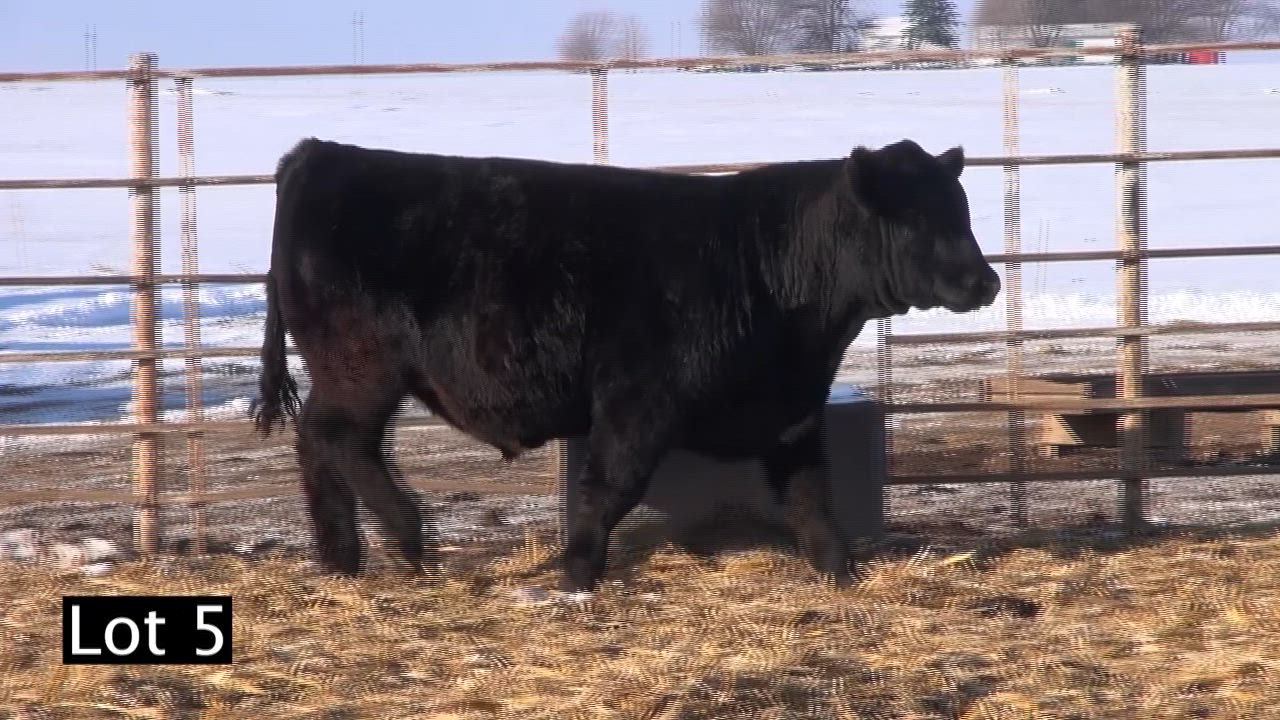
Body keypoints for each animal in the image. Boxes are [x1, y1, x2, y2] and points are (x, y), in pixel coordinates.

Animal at [251, 136, 1000, 593]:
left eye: (961, 209)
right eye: (918, 219)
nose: (987, 281)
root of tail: (322, 155)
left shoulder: (791, 410)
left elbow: (812, 496)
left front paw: (841, 572)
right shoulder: (638, 399)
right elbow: (608, 488)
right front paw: (576, 577)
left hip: (346, 374)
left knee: (316, 444)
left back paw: (342, 558)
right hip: (362, 368)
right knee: (340, 440)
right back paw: (406, 538)